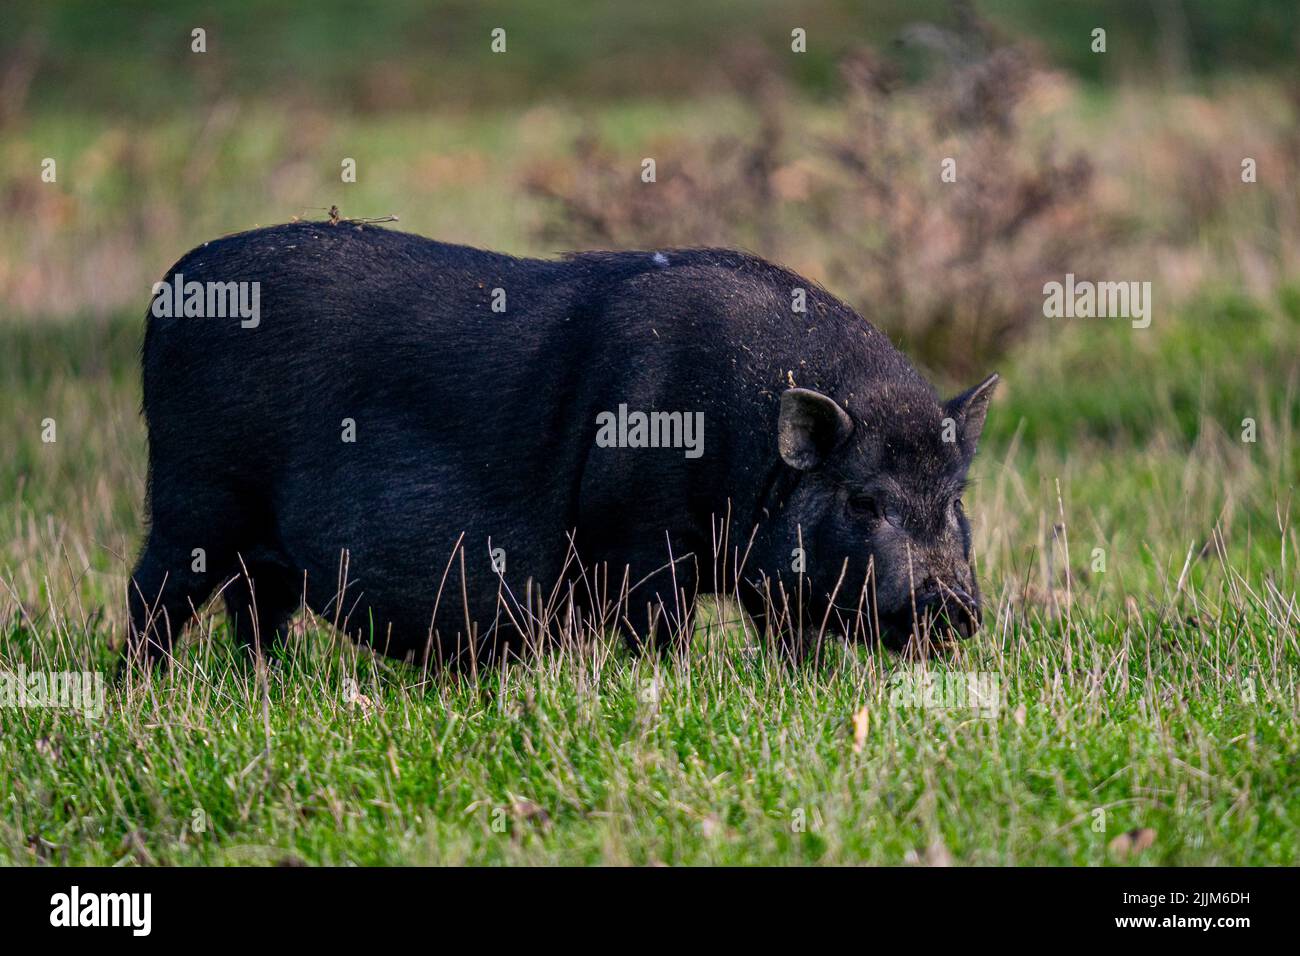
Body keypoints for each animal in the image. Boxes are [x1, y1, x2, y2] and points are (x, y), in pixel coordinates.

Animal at [125, 221, 997, 668]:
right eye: (865, 501)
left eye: (954, 500)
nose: (952, 607)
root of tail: (170, 288)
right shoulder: (640, 540)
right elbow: (661, 630)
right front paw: (671, 683)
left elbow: (792, 630)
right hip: (193, 497)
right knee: (153, 595)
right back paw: (145, 688)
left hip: (254, 538)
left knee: (256, 608)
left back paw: (266, 685)